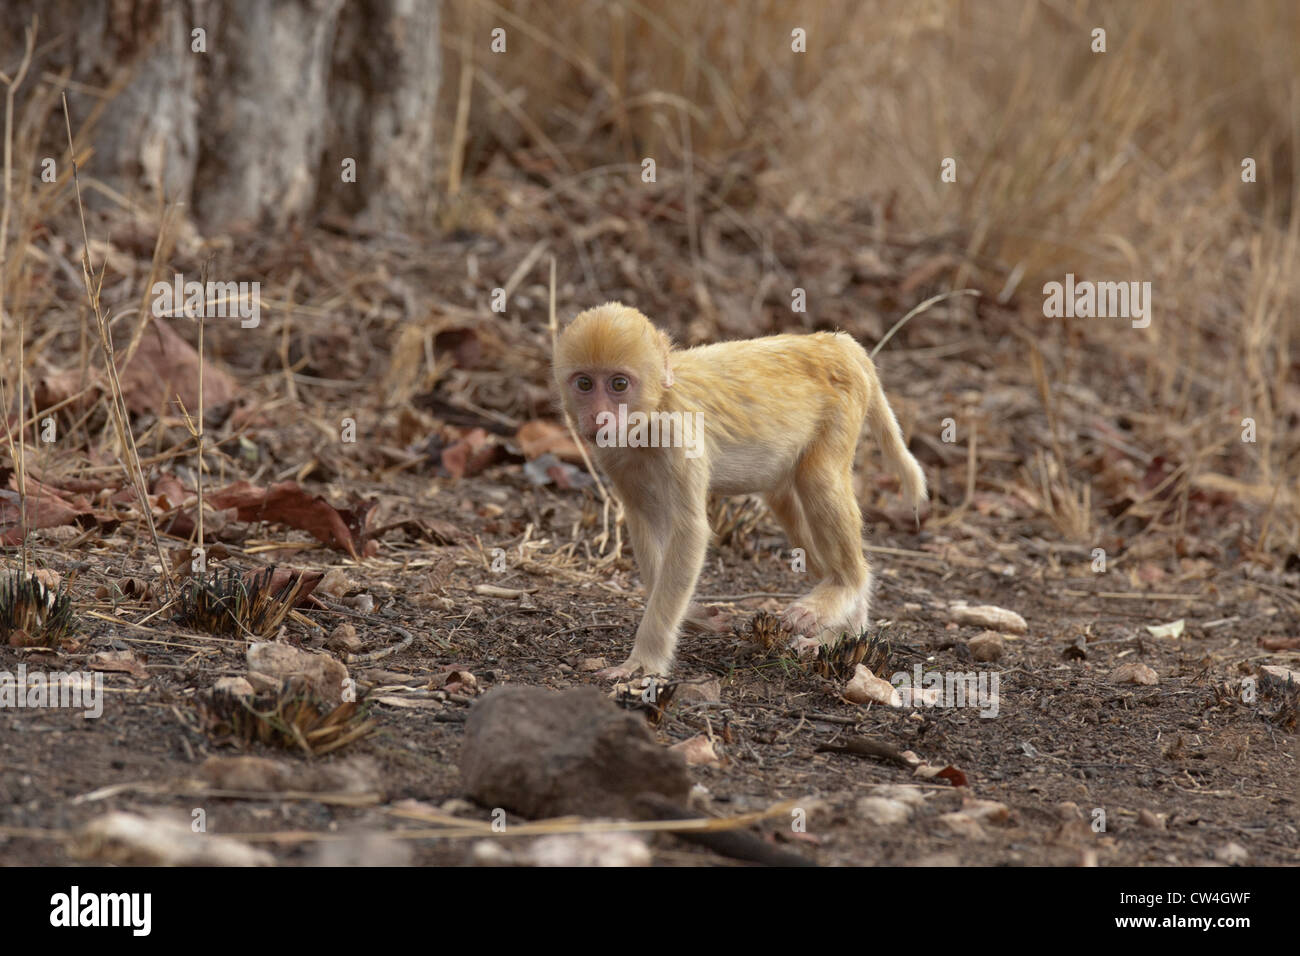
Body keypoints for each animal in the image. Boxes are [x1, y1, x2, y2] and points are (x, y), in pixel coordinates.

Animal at [553, 302, 926, 680]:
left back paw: (847, 587)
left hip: (843, 406)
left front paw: (645, 660)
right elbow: (644, 521)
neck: (654, 409)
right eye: (585, 383)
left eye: (618, 384)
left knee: (818, 480)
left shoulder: (677, 436)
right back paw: (846, 632)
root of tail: (834, 342)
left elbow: (689, 533)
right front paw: (694, 615)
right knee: (783, 498)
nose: (599, 418)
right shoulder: (614, 456)